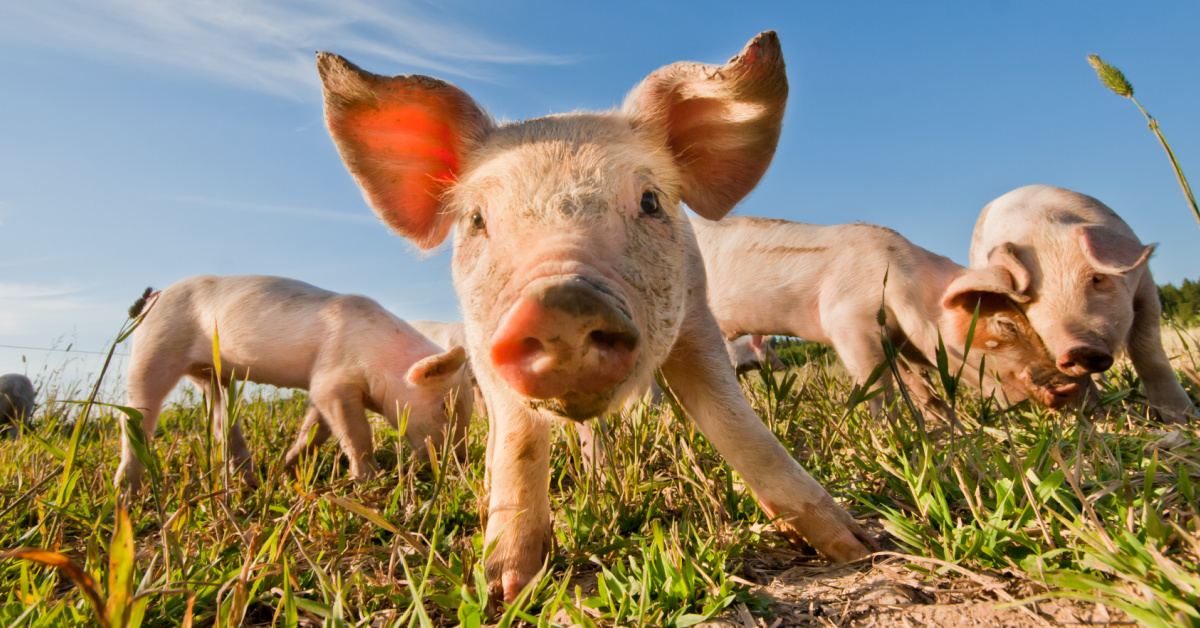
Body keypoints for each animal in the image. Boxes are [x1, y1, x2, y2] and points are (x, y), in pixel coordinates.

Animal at [115, 275, 472, 491]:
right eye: (445, 406)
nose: (462, 462)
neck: (381, 358)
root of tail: (156, 295)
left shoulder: (323, 388)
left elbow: (316, 429)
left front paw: (285, 471)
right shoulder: (332, 377)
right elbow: (355, 431)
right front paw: (369, 480)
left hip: (214, 375)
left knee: (221, 419)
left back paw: (250, 479)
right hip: (155, 345)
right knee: (137, 414)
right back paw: (127, 492)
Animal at [317, 31, 876, 604]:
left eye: (650, 201)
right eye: (476, 219)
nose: (559, 302)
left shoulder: (697, 317)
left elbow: (735, 422)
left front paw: (856, 548)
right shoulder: (482, 346)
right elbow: (519, 440)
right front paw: (506, 589)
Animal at [694, 216, 1085, 415]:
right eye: (1005, 324)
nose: (1069, 387)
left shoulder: (896, 341)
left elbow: (921, 388)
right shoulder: (847, 323)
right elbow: (878, 389)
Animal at [969, 184, 1196, 424]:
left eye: (1097, 278)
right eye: (1029, 298)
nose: (1078, 348)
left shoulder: (1144, 284)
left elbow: (1148, 349)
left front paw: (1183, 420)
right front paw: (1095, 420)